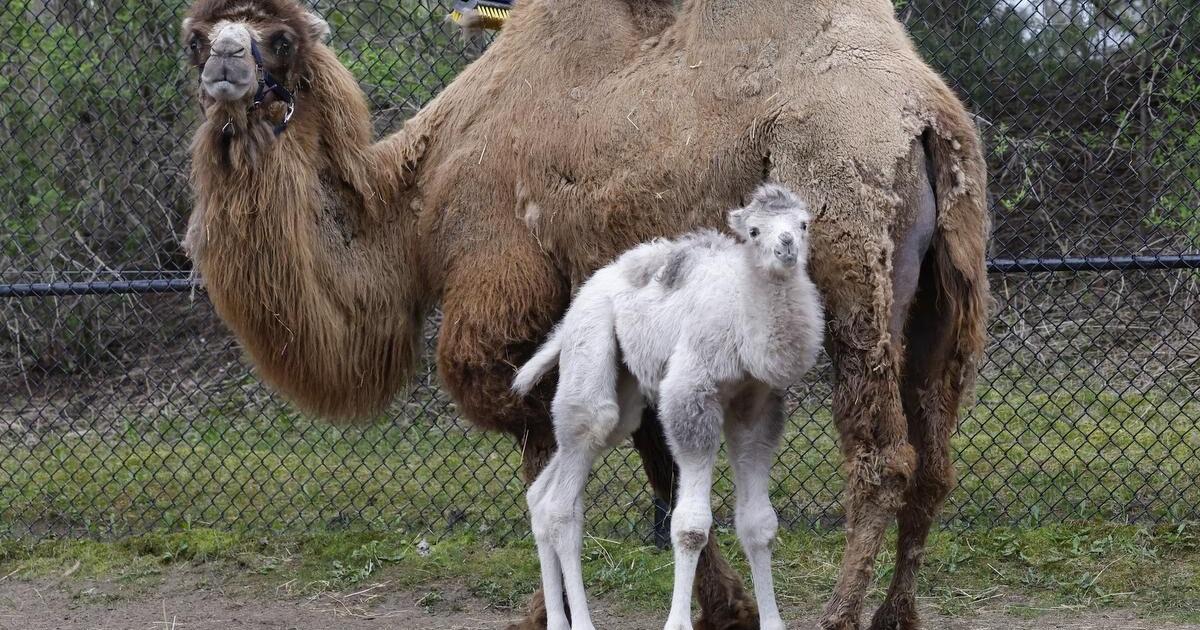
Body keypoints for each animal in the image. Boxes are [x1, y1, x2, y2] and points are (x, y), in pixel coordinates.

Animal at [513, 183, 825, 630]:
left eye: (802, 223)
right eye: (753, 231)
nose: (786, 245)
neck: (740, 315)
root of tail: (574, 308)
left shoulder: (757, 405)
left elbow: (759, 524)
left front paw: (773, 623)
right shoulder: (690, 394)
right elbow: (690, 526)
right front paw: (677, 623)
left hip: (624, 396)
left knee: (543, 493)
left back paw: (556, 620)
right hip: (591, 345)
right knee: (563, 500)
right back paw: (581, 623)